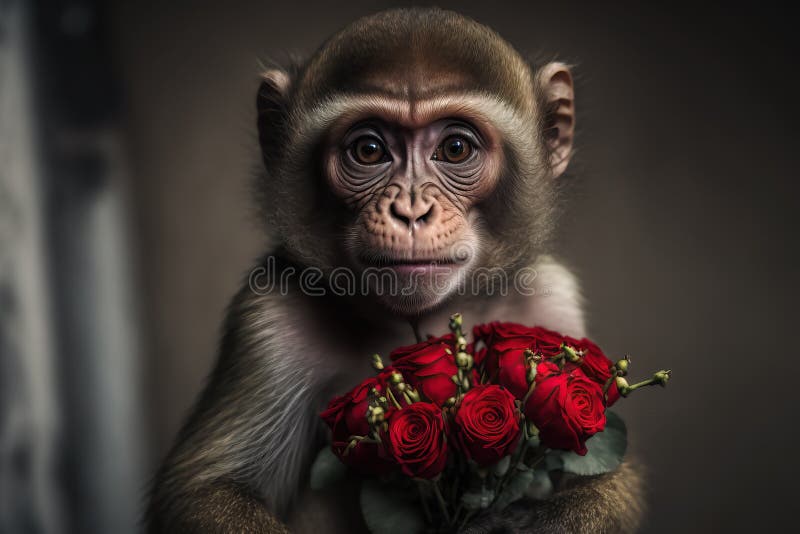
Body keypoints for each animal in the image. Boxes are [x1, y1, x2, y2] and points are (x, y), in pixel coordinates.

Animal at [146, 8, 645, 534]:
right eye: (368, 151)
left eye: (455, 148)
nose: (410, 211)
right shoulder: (270, 317)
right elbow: (205, 491)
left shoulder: (553, 297)